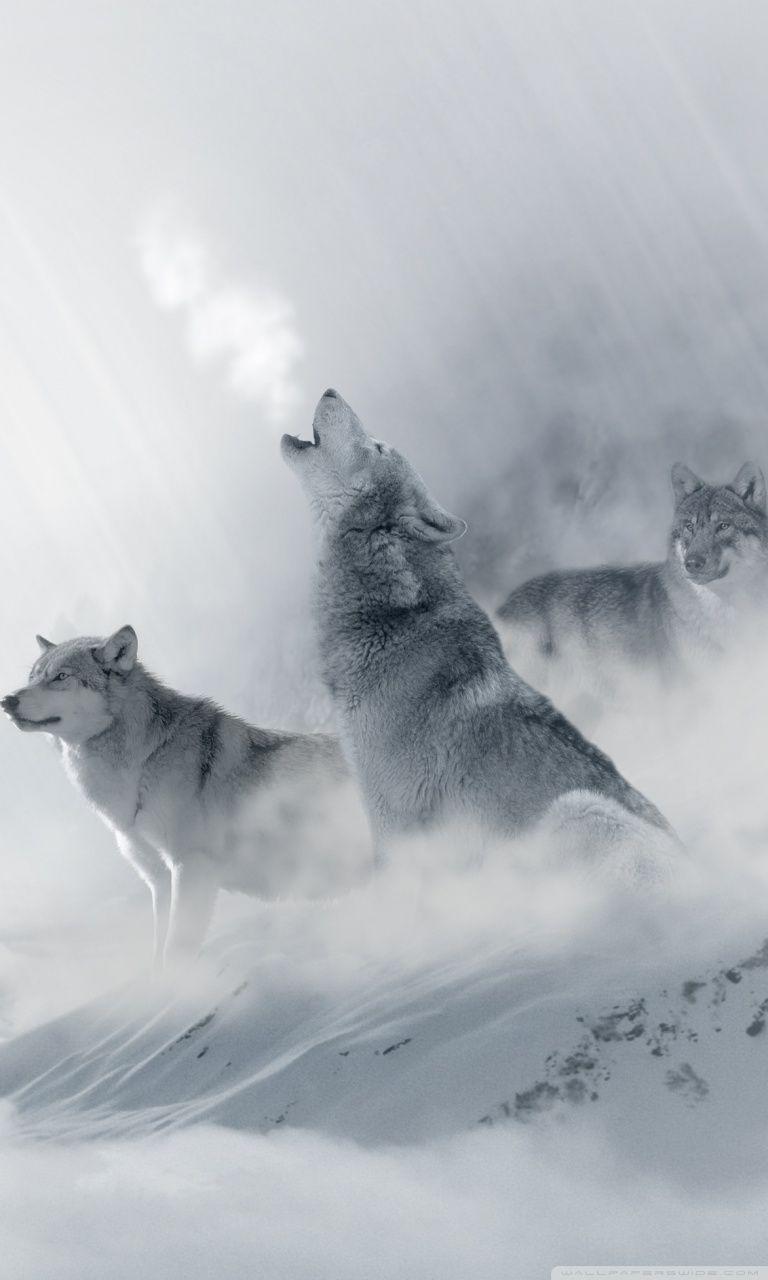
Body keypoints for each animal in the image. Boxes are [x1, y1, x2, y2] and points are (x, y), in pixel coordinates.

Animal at [2, 628, 368, 967]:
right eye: (33, 677)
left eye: (60, 677)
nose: (7, 700)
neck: (142, 764)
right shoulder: (160, 881)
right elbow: (158, 954)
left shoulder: (191, 869)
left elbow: (175, 952)